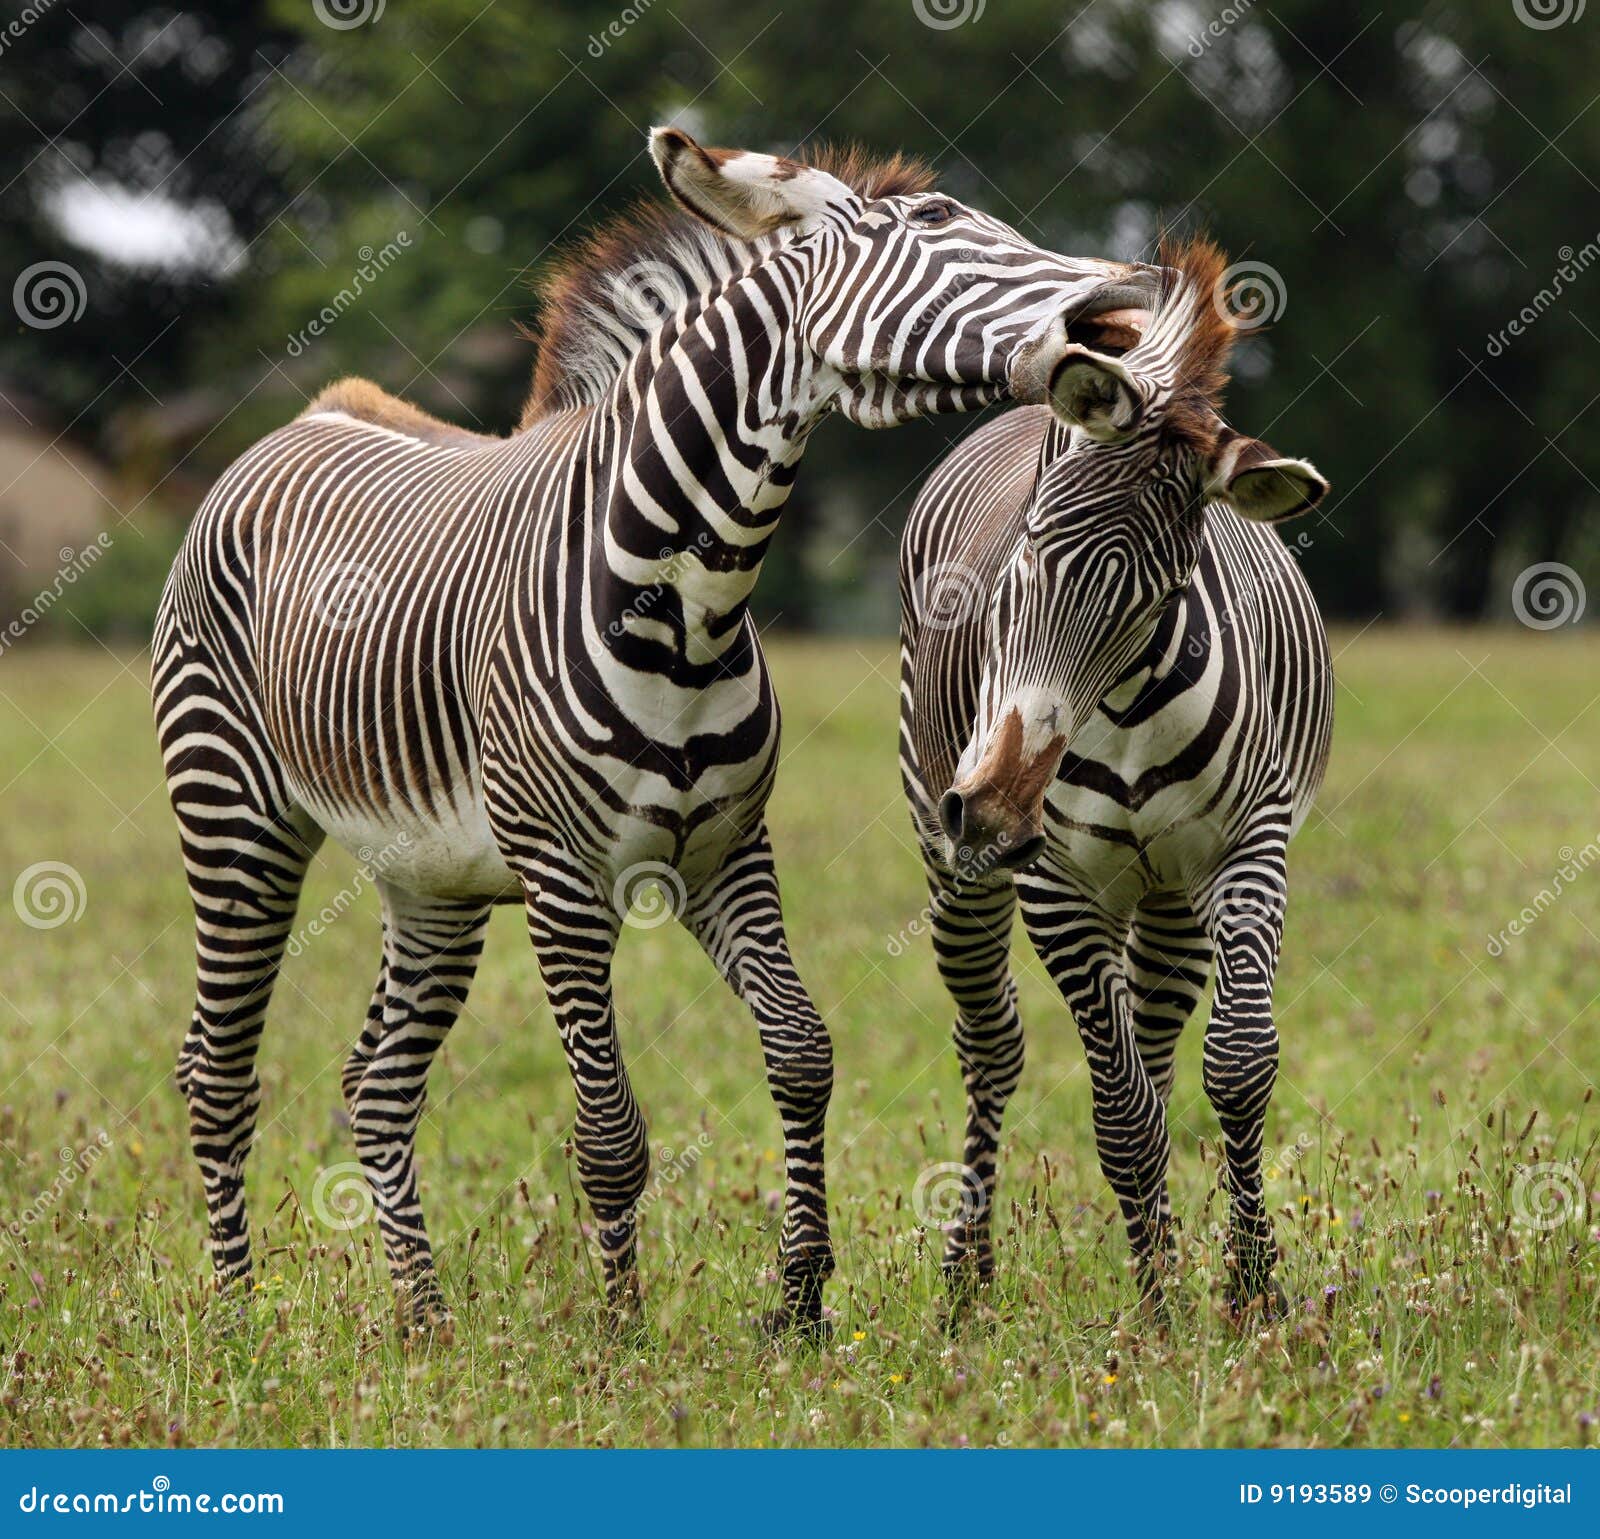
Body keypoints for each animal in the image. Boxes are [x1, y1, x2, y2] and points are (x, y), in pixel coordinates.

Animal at [152, 125, 1166, 1335]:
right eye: (935, 220)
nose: (1145, 283)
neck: (691, 601)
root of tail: (311, 416)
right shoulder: (562, 878)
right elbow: (608, 1131)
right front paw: (622, 1329)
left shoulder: (727, 854)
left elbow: (801, 1051)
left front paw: (801, 1300)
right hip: (235, 820)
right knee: (215, 1070)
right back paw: (233, 1313)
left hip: (429, 878)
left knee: (376, 1084)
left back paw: (425, 1319)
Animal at [897, 238, 1330, 1316]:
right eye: (1025, 561)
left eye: (1160, 597)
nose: (993, 810)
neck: (1127, 705)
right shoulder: (1054, 883)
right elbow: (1120, 1109)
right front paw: (1160, 1312)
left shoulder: (1247, 846)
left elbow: (1236, 1066)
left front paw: (1249, 1292)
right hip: (950, 859)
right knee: (992, 1045)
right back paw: (966, 1281)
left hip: (1168, 889)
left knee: (1159, 1039)